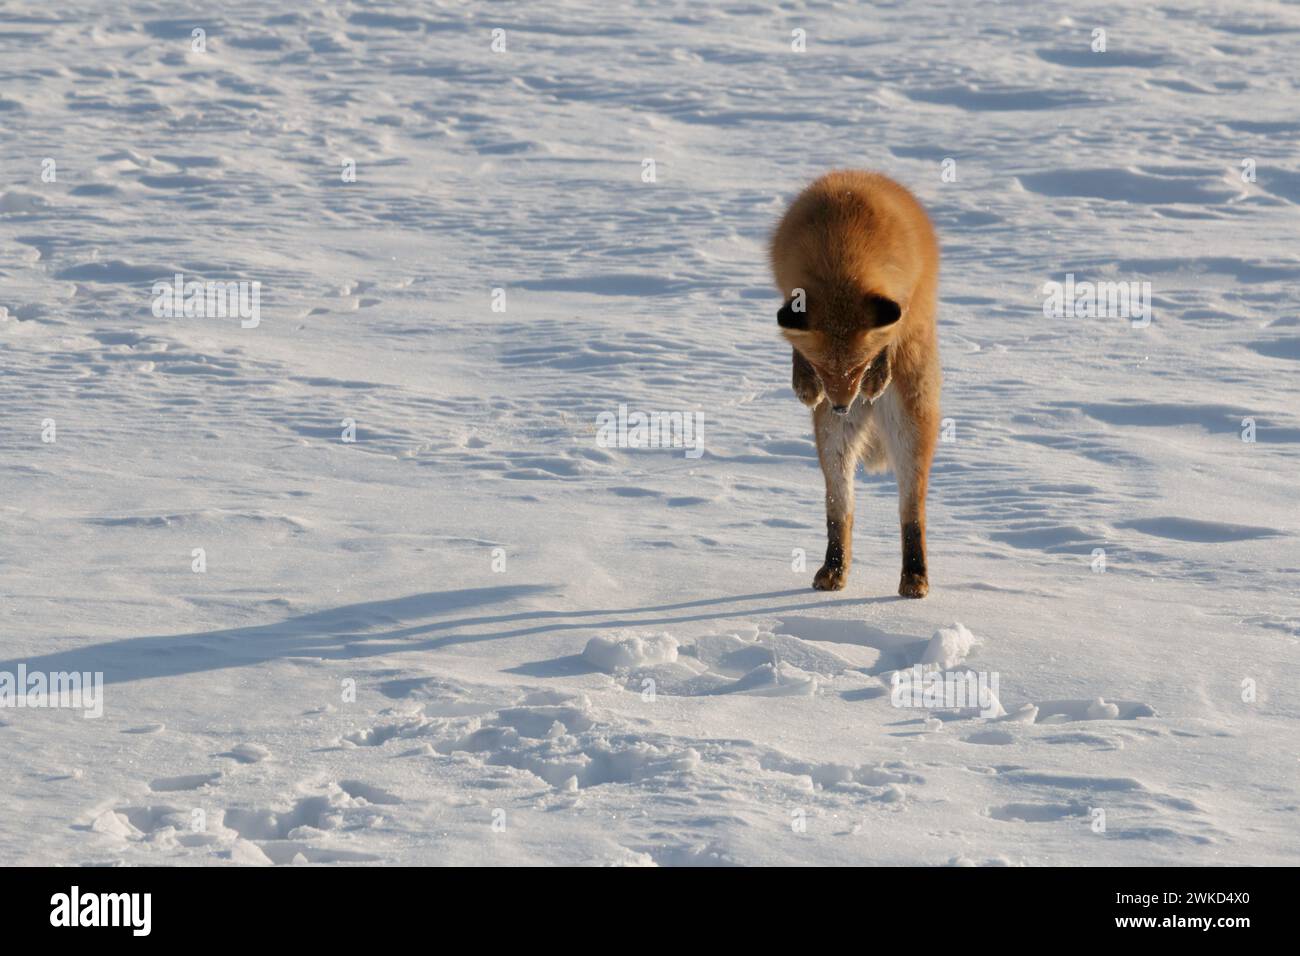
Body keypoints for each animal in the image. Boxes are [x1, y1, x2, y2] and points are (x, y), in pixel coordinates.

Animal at [769, 170, 941, 598]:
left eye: (860, 366)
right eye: (822, 367)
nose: (842, 405)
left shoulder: (904, 295)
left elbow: (893, 332)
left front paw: (881, 372)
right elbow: (792, 337)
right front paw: (802, 380)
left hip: (910, 431)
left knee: (912, 513)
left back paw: (914, 577)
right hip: (834, 444)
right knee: (840, 509)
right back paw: (834, 569)